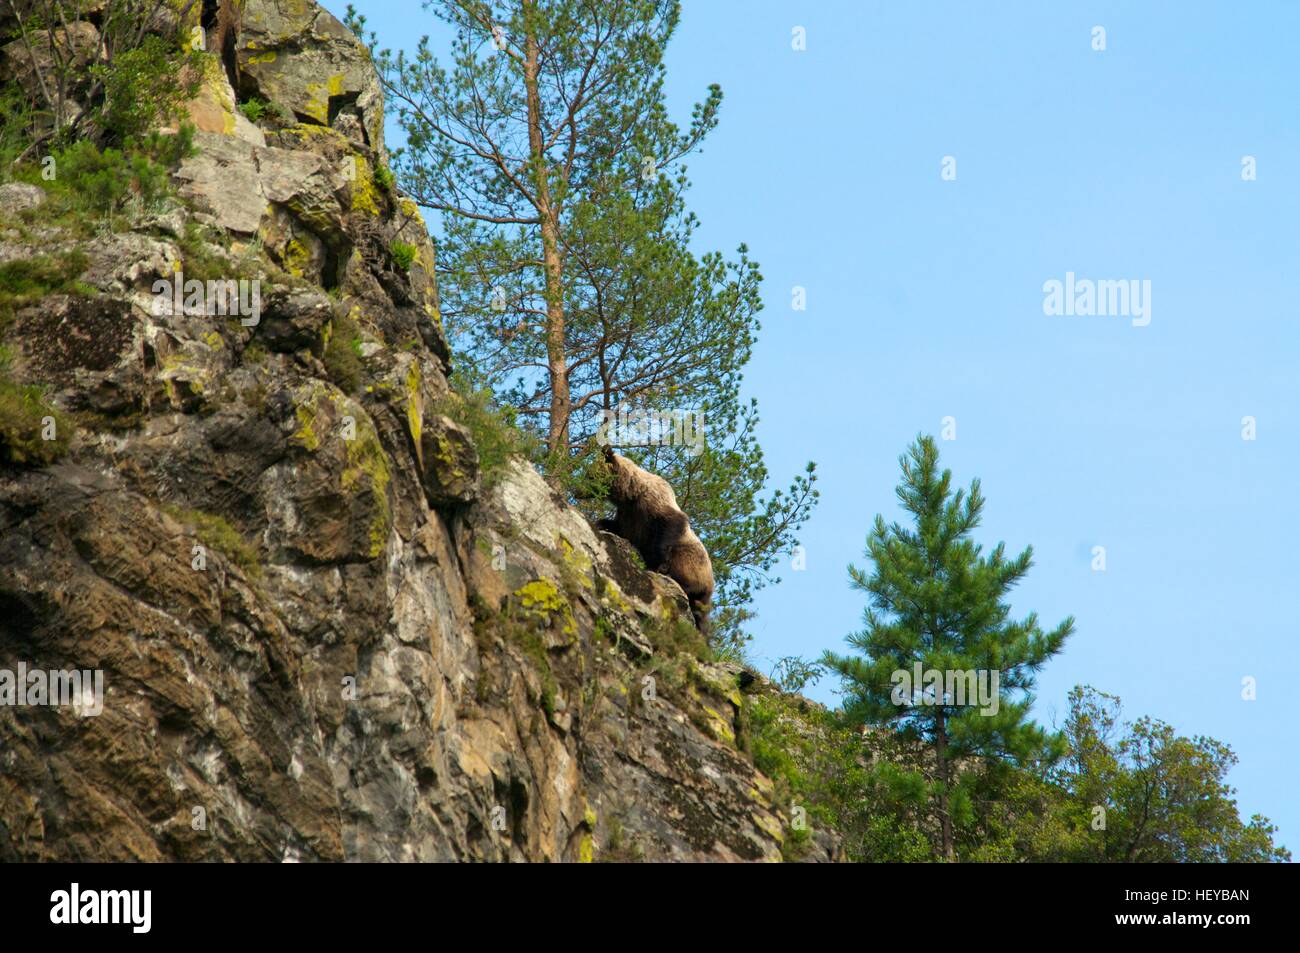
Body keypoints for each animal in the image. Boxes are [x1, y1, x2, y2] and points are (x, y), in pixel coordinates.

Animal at [594, 447, 714, 629]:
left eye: (590, 474)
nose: (577, 491)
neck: (632, 493)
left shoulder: (655, 508)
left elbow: (670, 528)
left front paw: (660, 566)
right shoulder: (630, 517)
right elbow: (620, 529)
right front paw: (601, 523)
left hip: (693, 564)